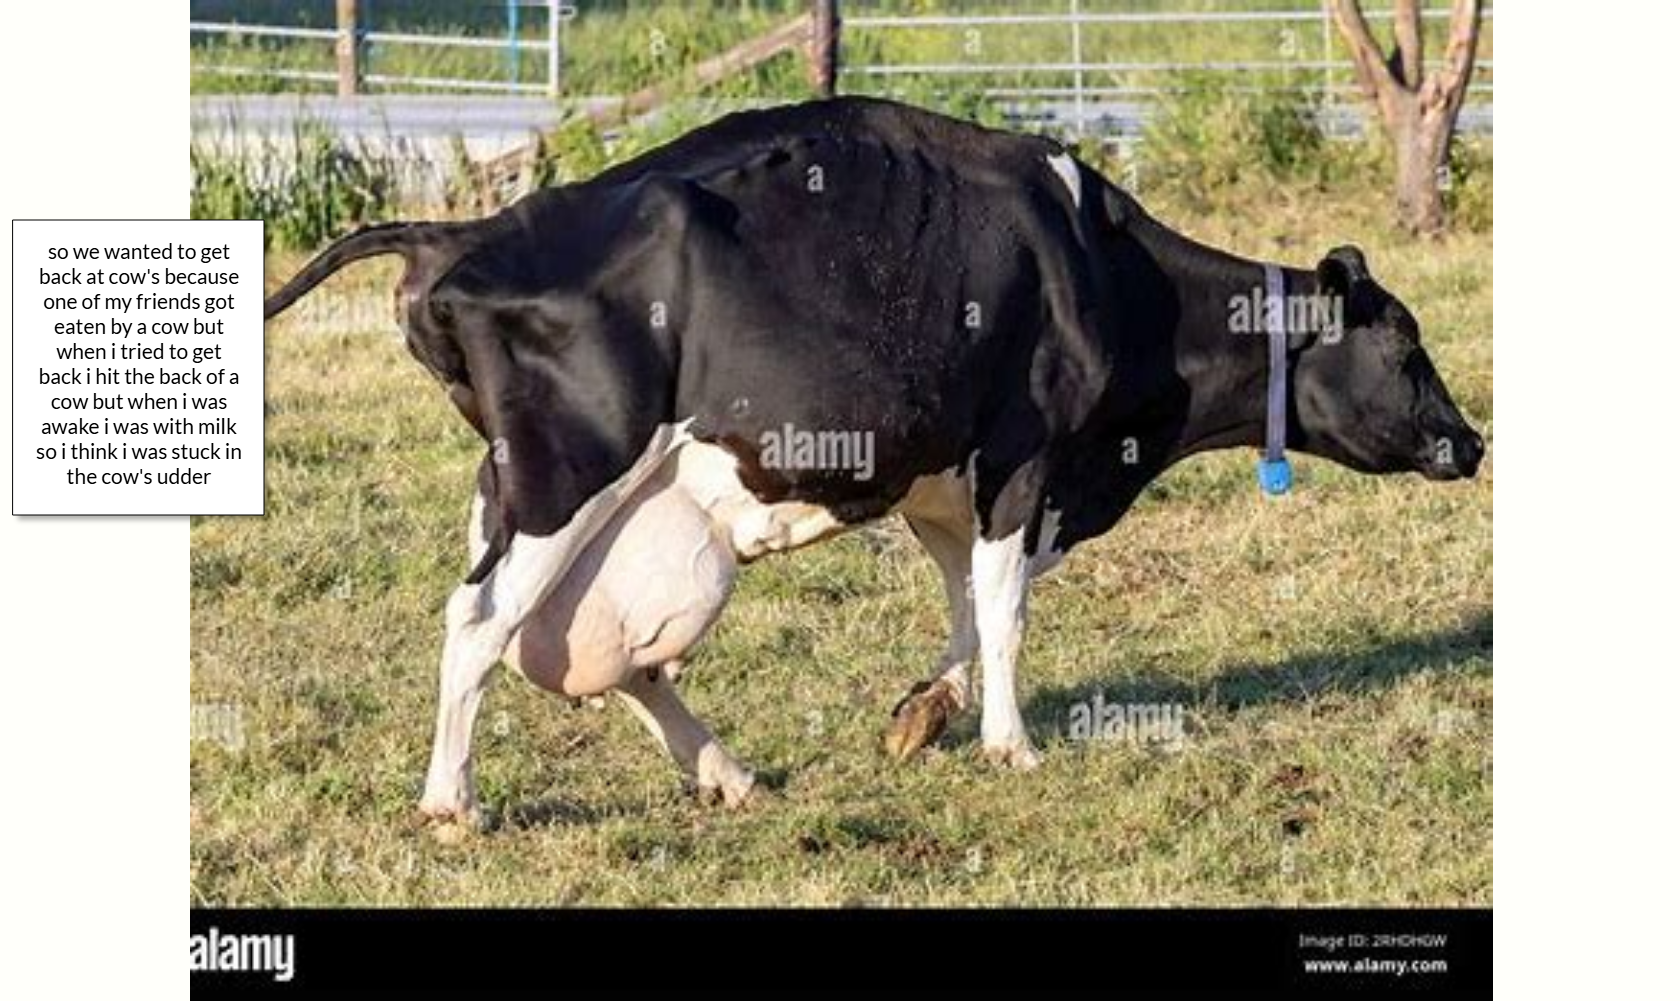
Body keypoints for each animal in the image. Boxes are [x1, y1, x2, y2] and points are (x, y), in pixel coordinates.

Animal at [262, 96, 1484, 826]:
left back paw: (725, 769)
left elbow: (967, 605)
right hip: (568, 469)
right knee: (481, 622)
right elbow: (1005, 607)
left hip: (558, 491)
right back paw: (452, 801)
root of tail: (468, 231)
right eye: (1404, 343)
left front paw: (925, 712)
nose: (1471, 440)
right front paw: (1009, 744)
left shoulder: (947, 481)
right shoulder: (1026, 457)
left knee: (593, 649)